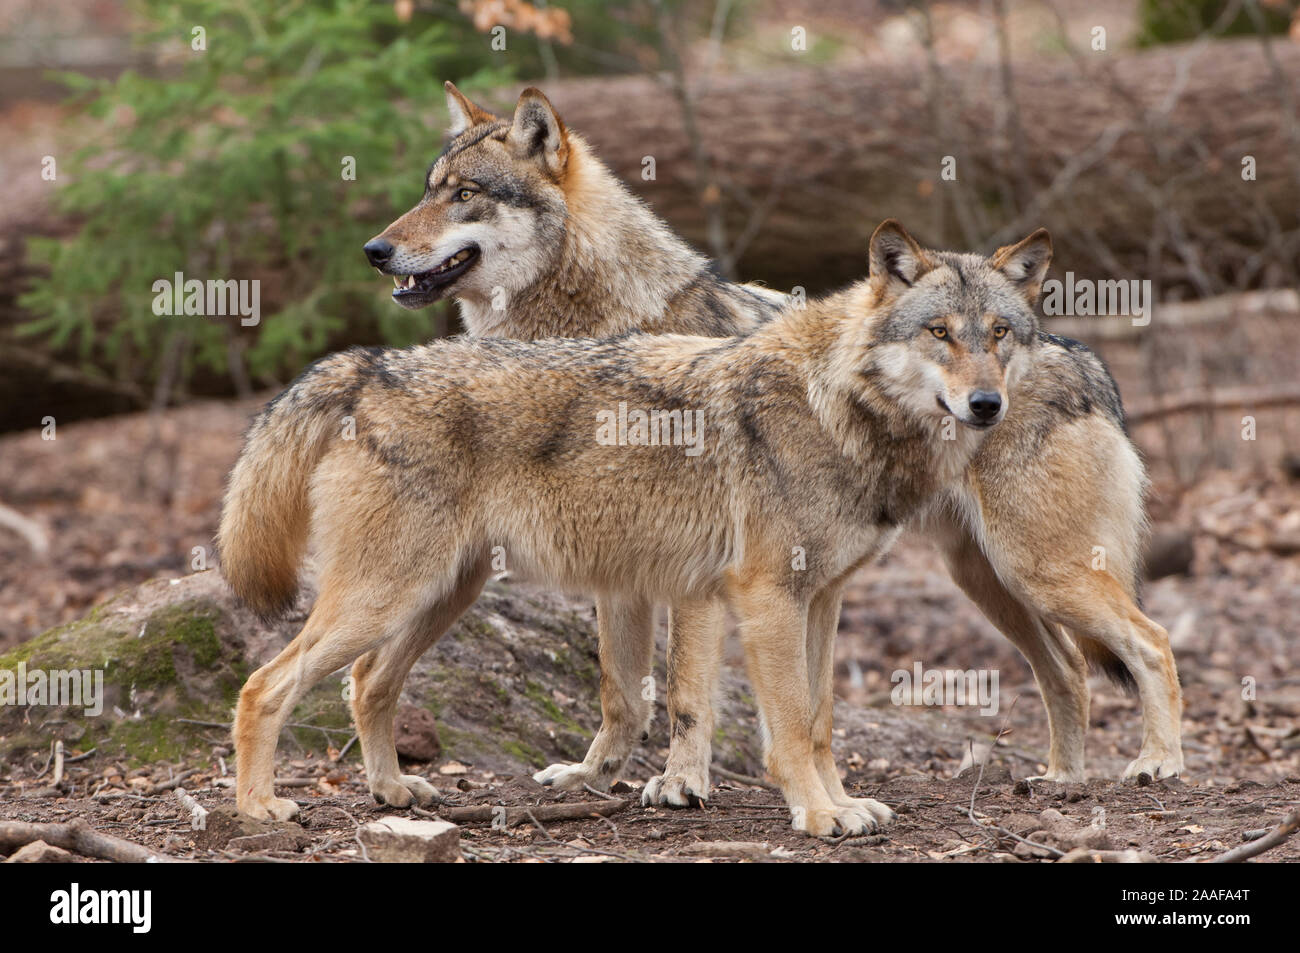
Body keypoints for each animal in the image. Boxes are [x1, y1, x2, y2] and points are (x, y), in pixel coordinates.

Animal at [221, 219, 1045, 836]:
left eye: (1000, 333)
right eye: (939, 332)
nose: (986, 405)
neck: (839, 404)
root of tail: (374, 367)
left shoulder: (823, 599)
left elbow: (818, 722)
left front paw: (843, 804)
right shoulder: (767, 598)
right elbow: (785, 730)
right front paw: (817, 815)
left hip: (438, 597)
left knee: (365, 684)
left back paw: (392, 792)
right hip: (386, 596)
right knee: (263, 686)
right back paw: (259, 807)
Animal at [362, 86, 1184, 803]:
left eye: (464, 194)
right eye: (429, 188)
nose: (374, 249)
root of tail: (1083, 357)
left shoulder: (696, 572)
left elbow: (685, 692)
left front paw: (680, 783)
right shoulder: (625, 562)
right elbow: (620, 690)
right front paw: (595, 776)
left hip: (1039, 569)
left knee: (1151, 643)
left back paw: (1158, 763)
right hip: (990, 578)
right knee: (1069, 669)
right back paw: (1063, 778)